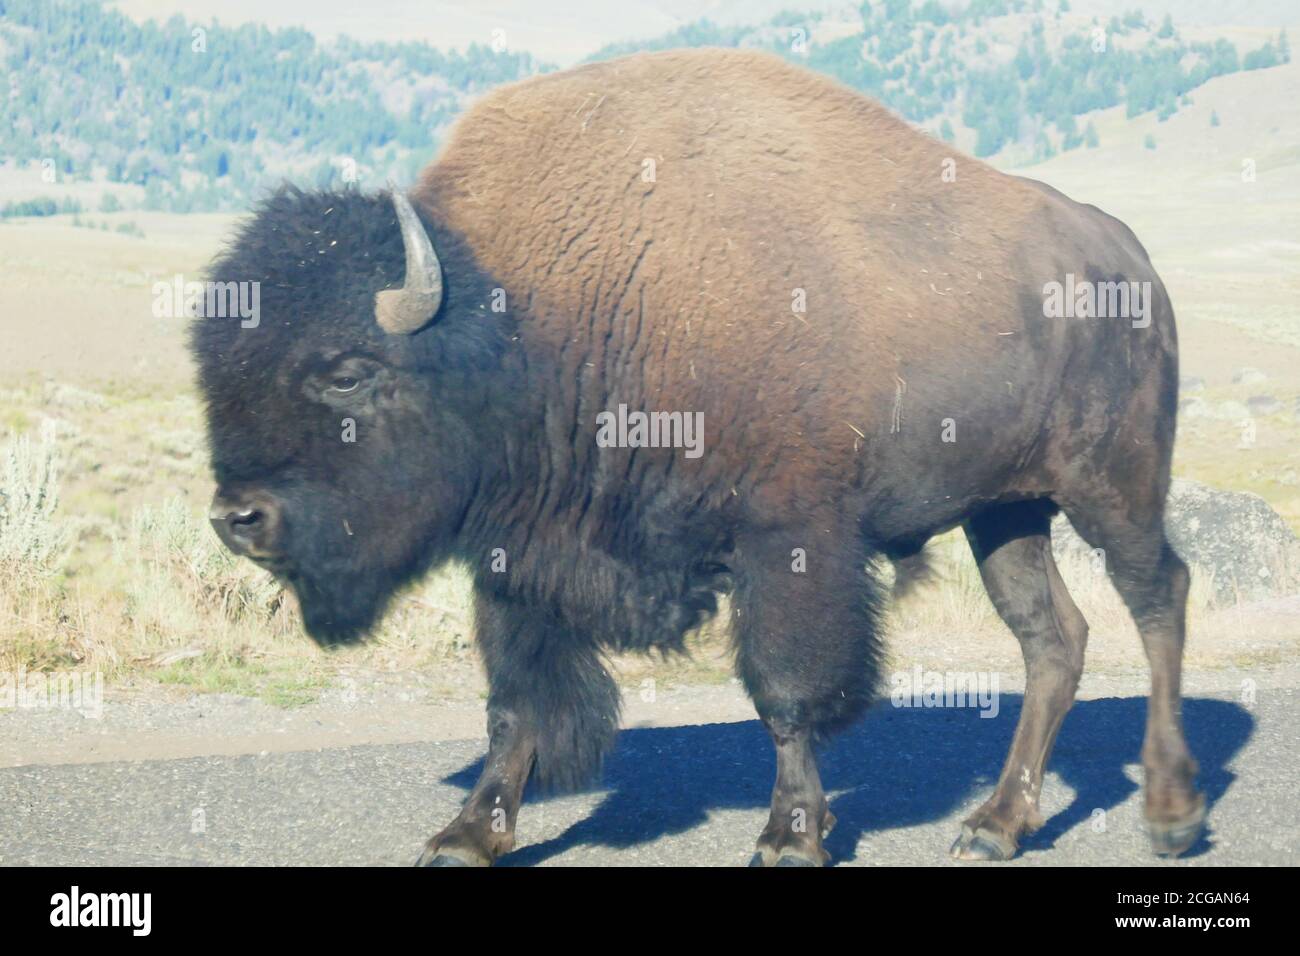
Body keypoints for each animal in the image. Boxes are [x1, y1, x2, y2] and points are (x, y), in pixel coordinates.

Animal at [194, 49, 1203, 865]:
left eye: (347, 373)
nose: (238, 519)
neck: (524, 319)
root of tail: (1131, 258)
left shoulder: (790, 544)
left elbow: (785, 693)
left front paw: (790, 836)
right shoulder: (521, 563)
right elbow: (515, 703)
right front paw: (466, 836)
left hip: (1113, 487)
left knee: (1158, 597)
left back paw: (1169, 813)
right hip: (1004, 513)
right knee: (1052, 639)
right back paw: (996, 825)